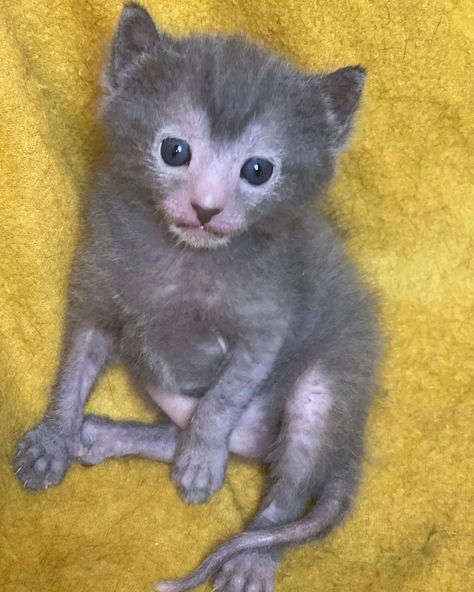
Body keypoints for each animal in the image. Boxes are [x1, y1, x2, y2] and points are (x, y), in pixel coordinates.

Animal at [13, 4, 382, 592]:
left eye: (258, 170)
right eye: (174, 151)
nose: (206, 208)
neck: (187, 257)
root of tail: (353, 437)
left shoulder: (265, 326)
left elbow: (223, 399)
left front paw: (201, 464)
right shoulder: (97, 288)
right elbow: (72, 370)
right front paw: (51, 441)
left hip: (326, 388)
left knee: (290, 481)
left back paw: (251, 557)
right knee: (190, 428)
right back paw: (107, 436)